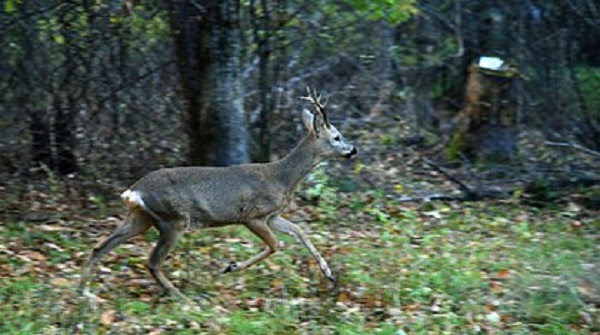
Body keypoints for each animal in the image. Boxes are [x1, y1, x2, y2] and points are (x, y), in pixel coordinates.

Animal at [79, 88, 356, 300]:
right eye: (336, 137)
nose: (353, 150)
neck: (281, 178)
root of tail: (133, 191)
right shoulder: (252, 215)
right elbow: (276, 245)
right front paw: (231, 267)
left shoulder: (273, 215)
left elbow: (300, 231)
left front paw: (328, 273)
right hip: (173, 219)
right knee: (153, 261)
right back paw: (182, 297)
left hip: (142, 218)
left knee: (100, 246)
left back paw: (85, 293)